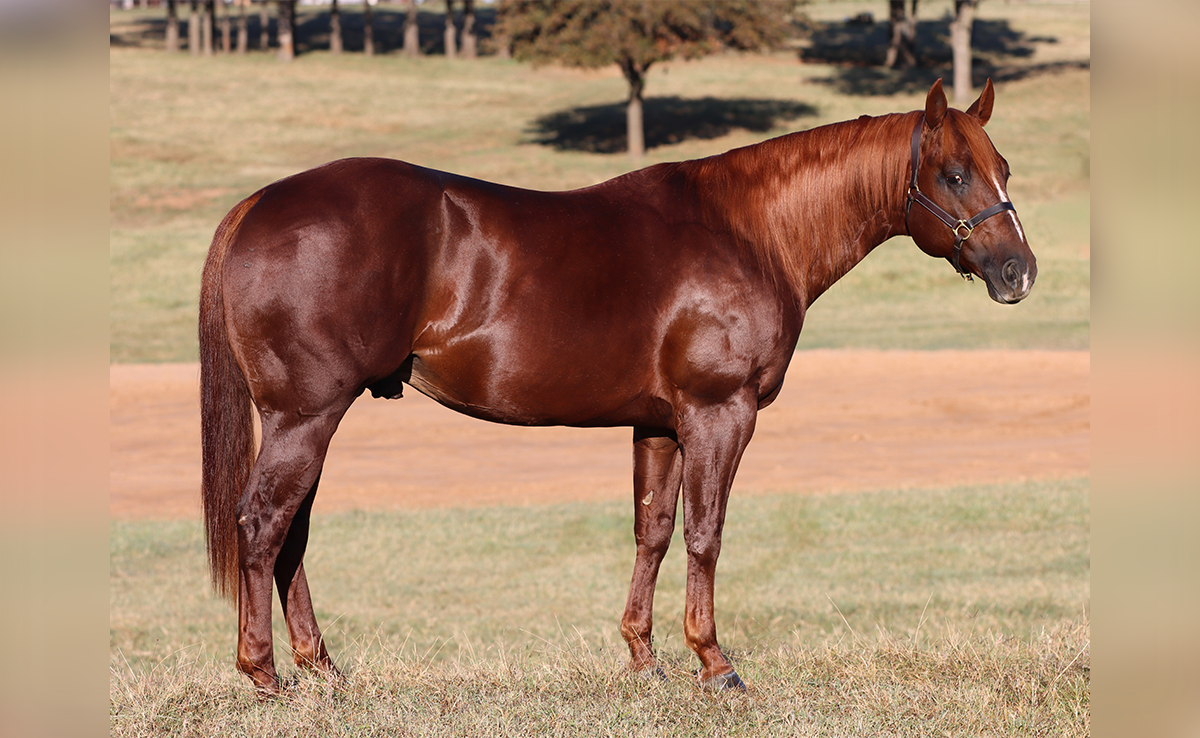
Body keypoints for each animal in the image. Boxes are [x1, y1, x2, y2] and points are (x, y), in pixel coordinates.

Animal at [199, 78, 1036, 694]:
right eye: (953, 174)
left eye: (1004, 169)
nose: (1018, 271)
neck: (749, 231)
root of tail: (259, 204)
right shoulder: (719, 413)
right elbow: (705, 533)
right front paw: (715, 664)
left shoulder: (660, 424)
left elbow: (653, 530)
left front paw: (645, 658)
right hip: (306, 415)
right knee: (263, 524)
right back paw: (266, 676)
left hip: (306, 419)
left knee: (291, 533)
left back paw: (323, 670)